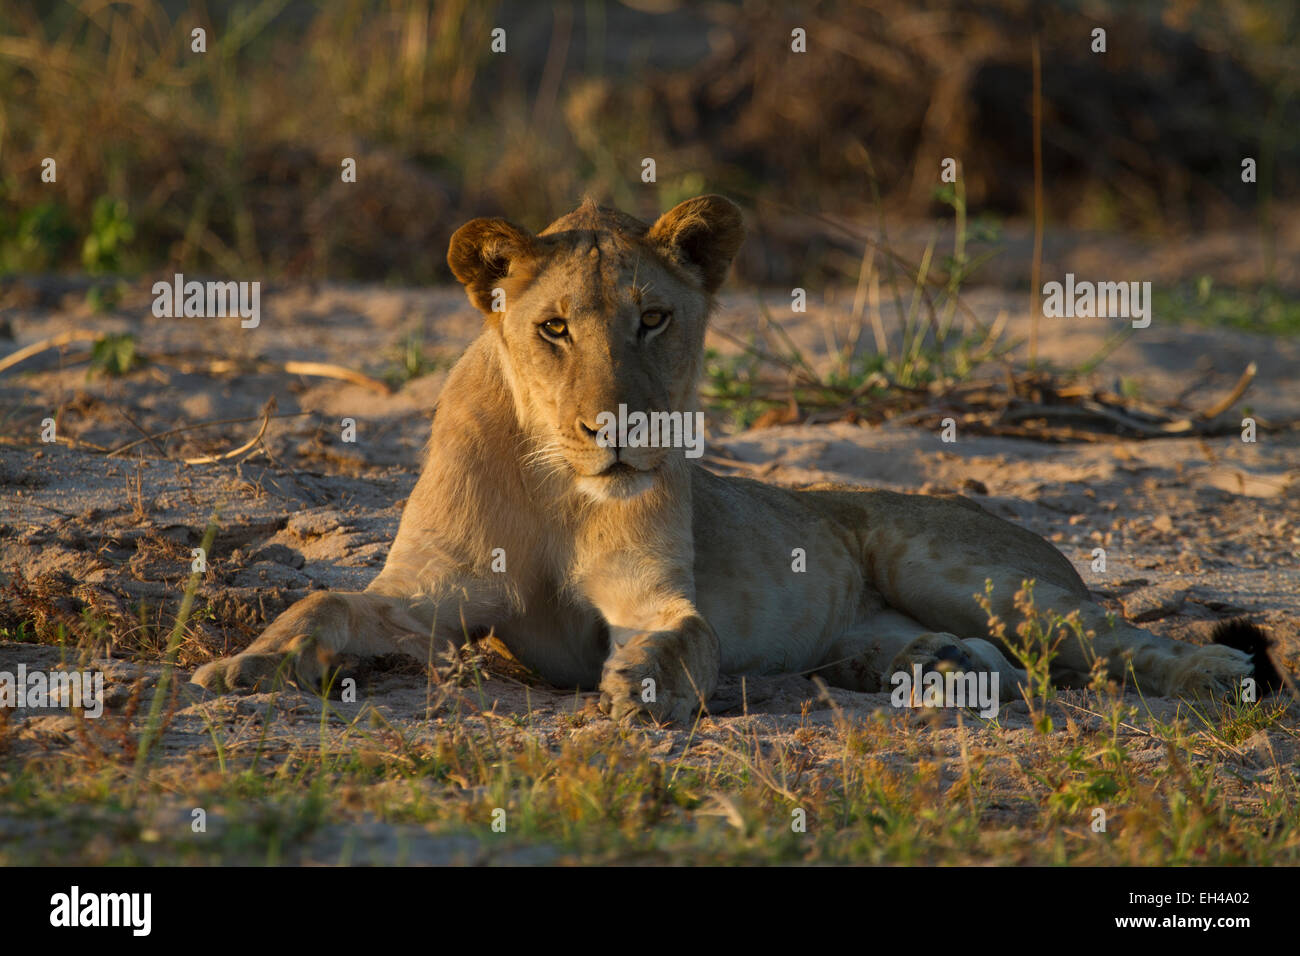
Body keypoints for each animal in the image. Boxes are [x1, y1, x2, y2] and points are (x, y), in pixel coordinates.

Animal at [192, 194, 1280, 722]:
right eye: (553, 327)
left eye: (653, 317)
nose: (621, 431)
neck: (555, 481)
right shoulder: (431, 594)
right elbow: (325, 603)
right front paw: (249, 665)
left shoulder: (651, 593)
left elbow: (684, 636)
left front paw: (643, 687)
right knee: (982, 655)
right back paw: (944, 672)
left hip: (969, 569)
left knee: (1133, 640)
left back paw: (1213, 677)